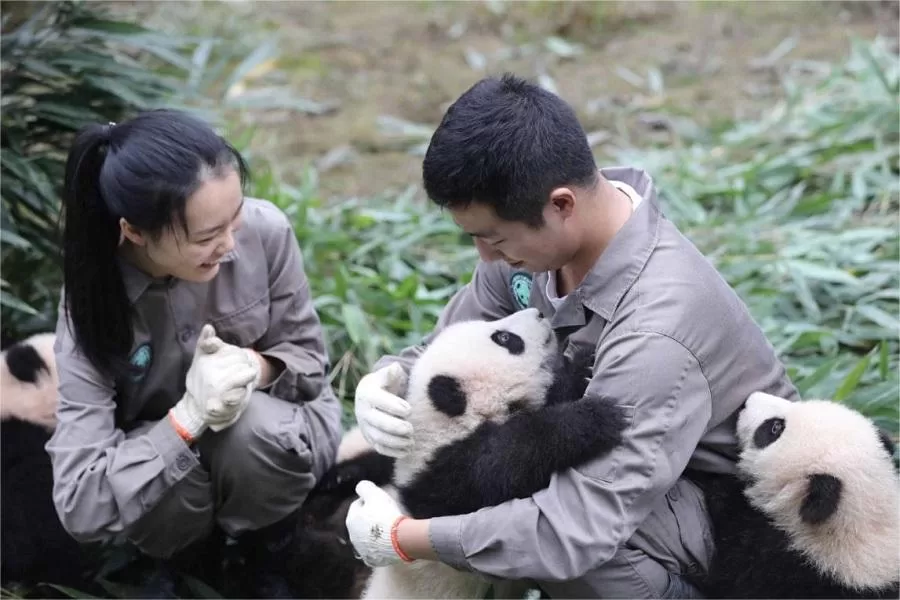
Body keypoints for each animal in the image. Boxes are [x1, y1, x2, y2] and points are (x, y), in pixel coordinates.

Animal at [350, 307, 629, 599]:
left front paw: (582, 366)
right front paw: (593, 418)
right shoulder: (450, 479)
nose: (539, 312)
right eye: (504, 338)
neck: (443, 429)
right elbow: (509, 462)